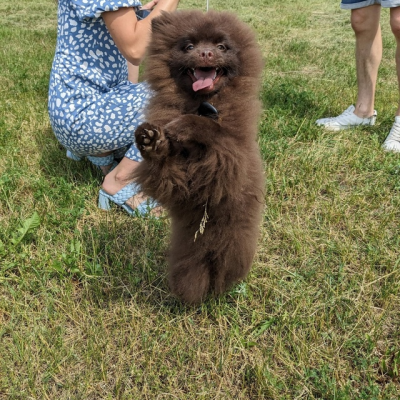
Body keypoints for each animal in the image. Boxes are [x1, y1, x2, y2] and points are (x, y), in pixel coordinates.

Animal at [134, 9, 266, 304]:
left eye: (222, 46)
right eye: (189, 46)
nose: (206, 53)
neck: (201, 102)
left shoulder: (233, 160)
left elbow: (213, 131)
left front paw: (186, 125)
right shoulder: (177, 184)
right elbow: (164, 171)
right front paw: (152, 141)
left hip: (234, 240)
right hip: (190, 248)